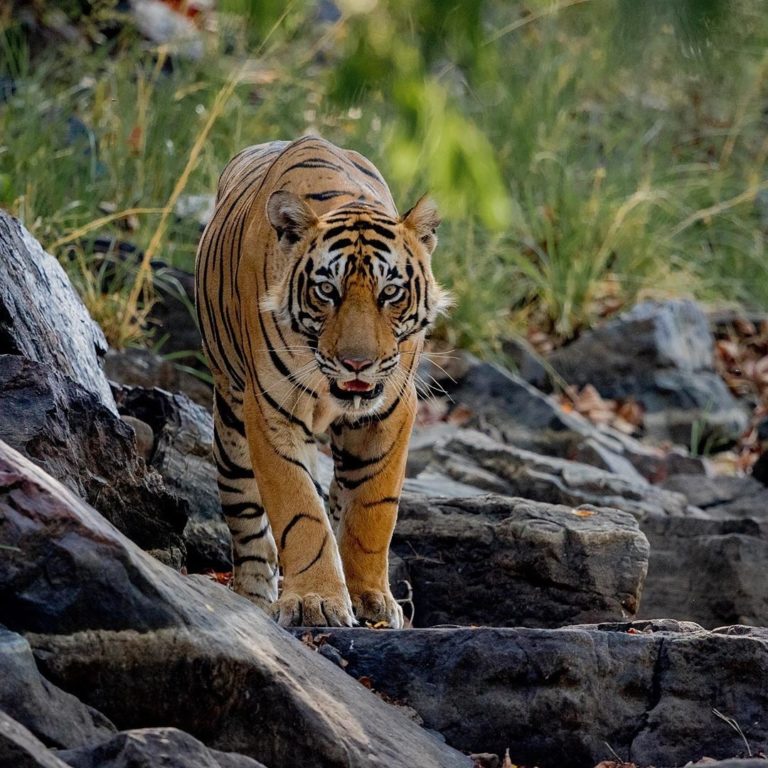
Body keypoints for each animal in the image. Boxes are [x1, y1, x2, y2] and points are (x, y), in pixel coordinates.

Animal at [195, 135, 449, 628]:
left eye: (390, 292)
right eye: (326, 291)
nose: (357, 363)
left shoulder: (392, 410)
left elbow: (372, 511)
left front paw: (371, 598)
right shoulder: (270, 410)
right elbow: (300, 510)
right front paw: (315, 600)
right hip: (231, 428)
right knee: (246, 515)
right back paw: (255, 597)